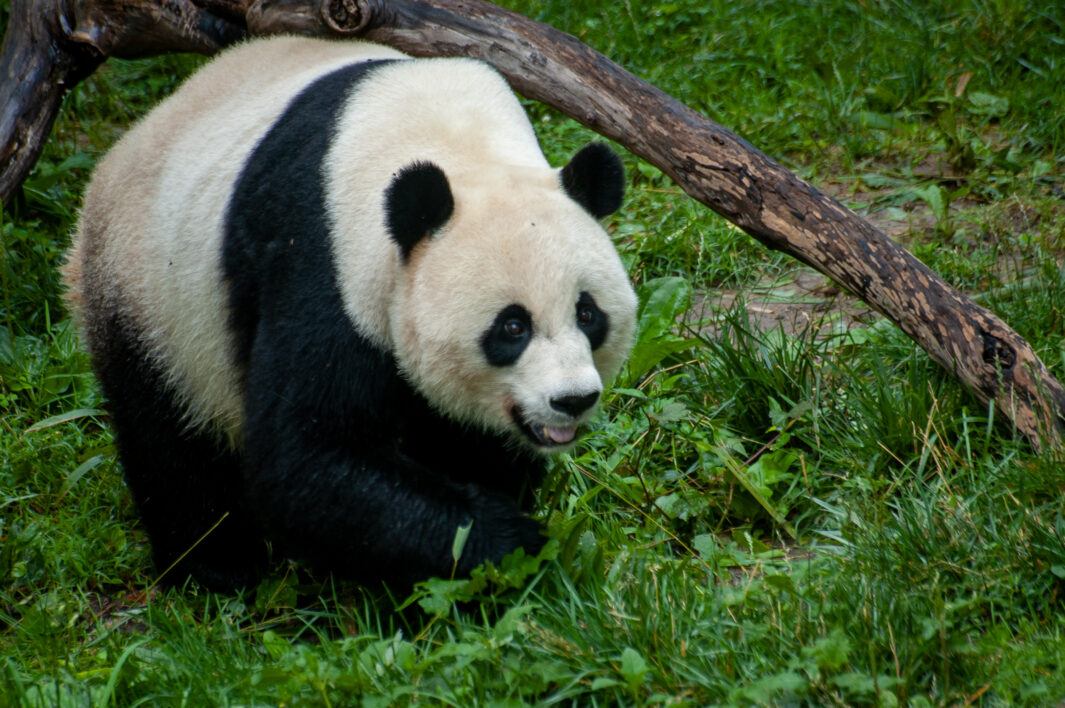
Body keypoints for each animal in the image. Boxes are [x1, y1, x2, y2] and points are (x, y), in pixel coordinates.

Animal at [64, 36, 637, 591]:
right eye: (512, 327)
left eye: (588, 315)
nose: (572, 400)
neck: (459, 146)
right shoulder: (323, 254)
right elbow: (307, 454)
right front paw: (508, 541)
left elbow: (469, 440)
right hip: (153, 294)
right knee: (171, 441)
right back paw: (215, 568)